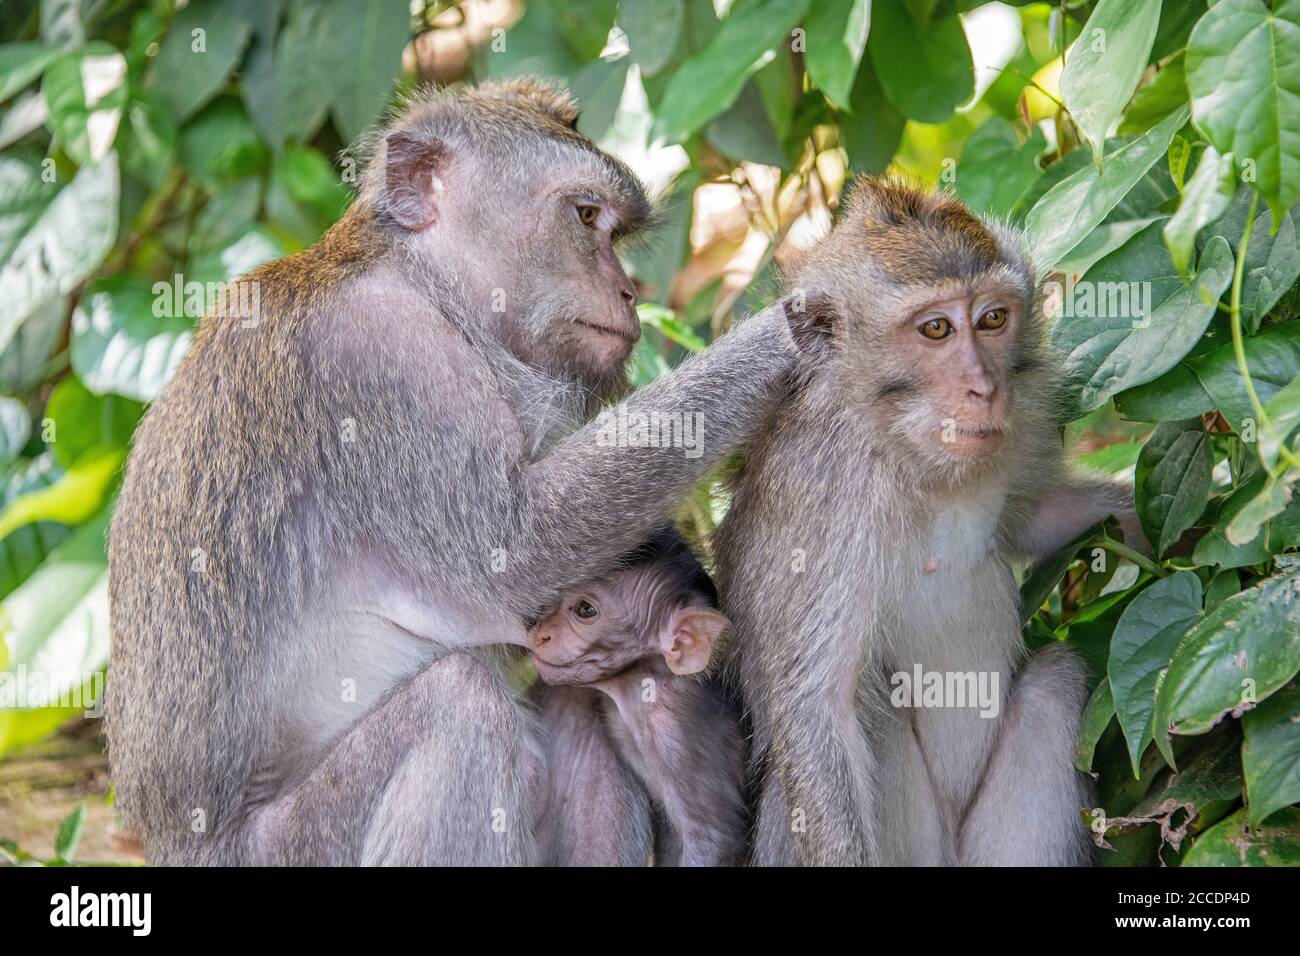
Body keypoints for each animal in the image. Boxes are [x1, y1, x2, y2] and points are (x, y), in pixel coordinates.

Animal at [715, 177, 1137, 867]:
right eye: (936, 328)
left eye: (993, 319)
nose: (984, 388)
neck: (910, 459)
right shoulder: (826, 498)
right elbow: (817, 710)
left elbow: (1032, 517)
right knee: (873, 709)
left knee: (1054, 682)